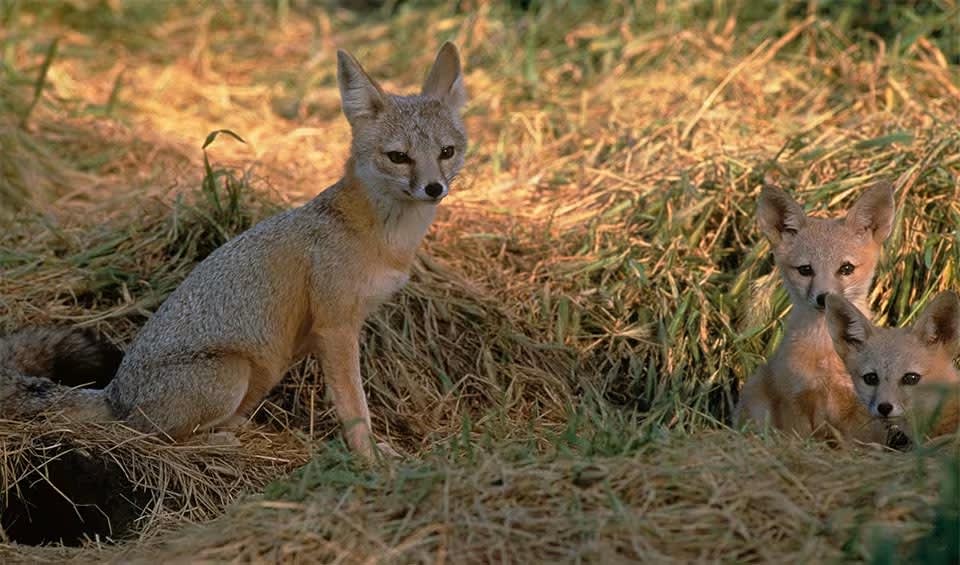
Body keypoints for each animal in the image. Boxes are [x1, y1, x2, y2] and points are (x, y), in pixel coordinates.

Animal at [0, 42, 467, 460]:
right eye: (398, 157)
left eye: (446, 152)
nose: (434, 188)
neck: (383, 236)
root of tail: (117, 395)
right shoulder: (335, 328)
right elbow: (355, 407)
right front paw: (369, 459)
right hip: (232, 373)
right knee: (155, 438)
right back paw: (219, 441)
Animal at [734, 180, 896, 443]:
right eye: (805, 270)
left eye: (846, 268)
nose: (824, 297)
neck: (826, 357)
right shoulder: (795, 402)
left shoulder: (860, 411)